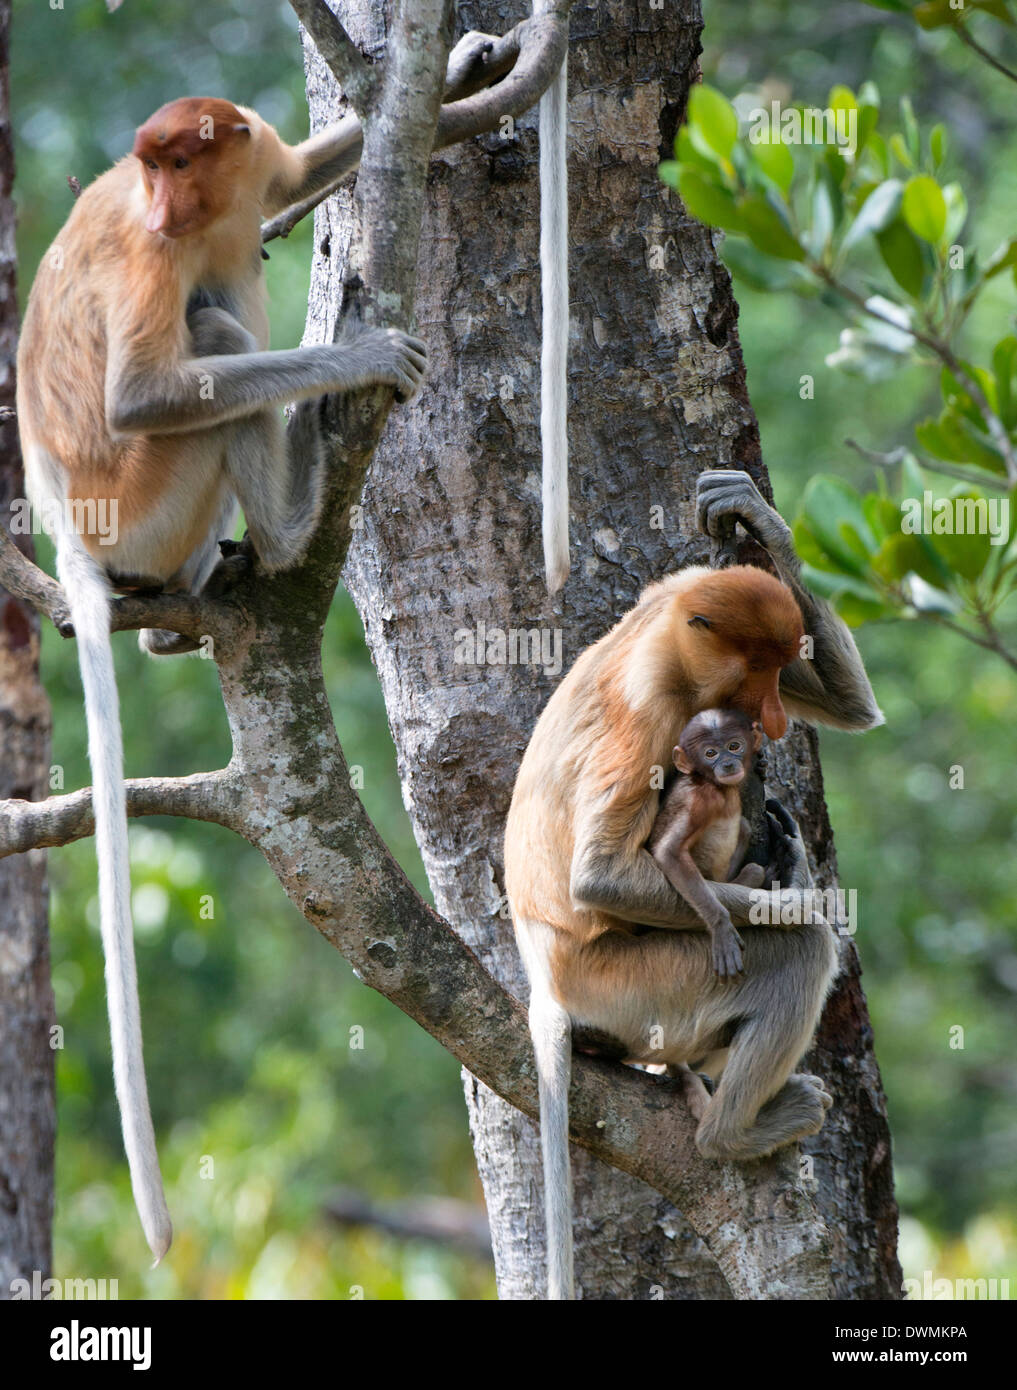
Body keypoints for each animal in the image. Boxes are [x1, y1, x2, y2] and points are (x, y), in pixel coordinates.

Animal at [15, 97, 430, 1264]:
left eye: (179, 161)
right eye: (150, 177)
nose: (162, 206)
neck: (199, 213)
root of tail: (68, 532)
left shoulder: (258, 167)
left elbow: (304, 166)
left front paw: (490, 75)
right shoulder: (148, 257)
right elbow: (144, 392)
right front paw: (356, 352)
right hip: (147, 500)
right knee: (211, 337)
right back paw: (282, 528)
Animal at [646, 709, 765, 979]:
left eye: (734, 746)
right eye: (710, 753)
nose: (728, 763)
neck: (714, 786)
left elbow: (744, 827)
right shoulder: (699, 801)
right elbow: (669, 852)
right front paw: (721, 927)